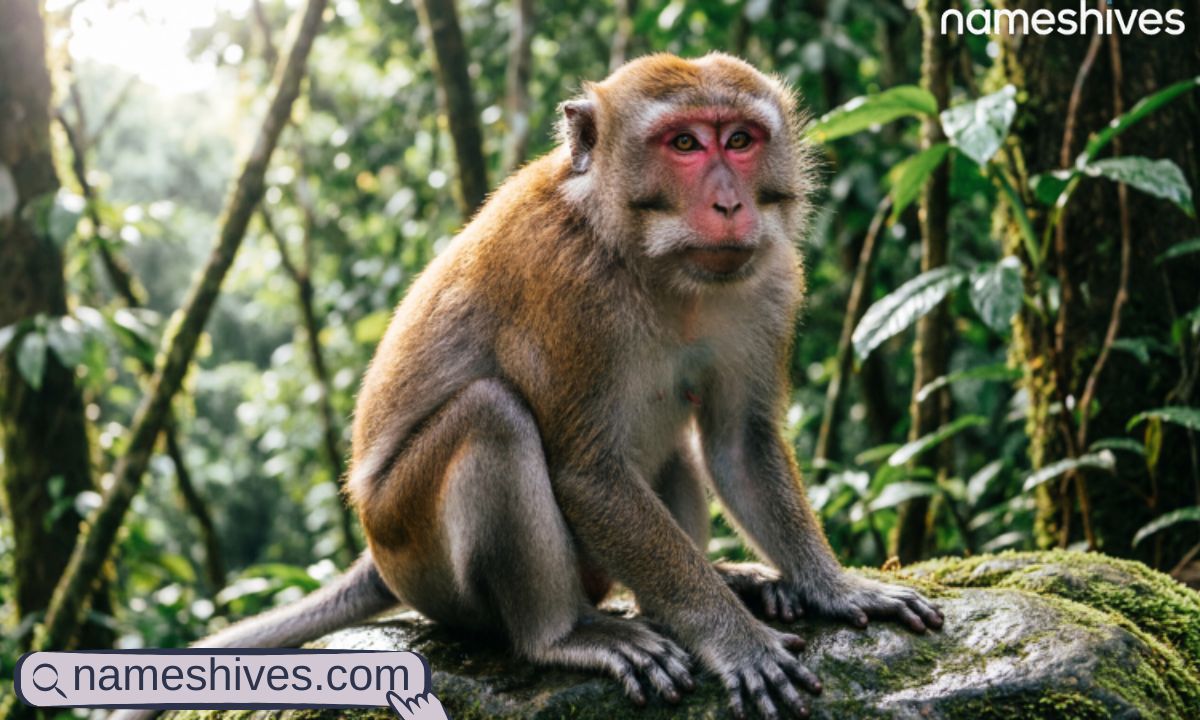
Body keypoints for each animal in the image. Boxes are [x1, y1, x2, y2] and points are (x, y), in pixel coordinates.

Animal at [112, 53, 941, 720]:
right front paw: (735, 641)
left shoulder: (768, 279)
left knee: (669, 449)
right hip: (422, 555)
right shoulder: (564, 287)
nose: (731, 205)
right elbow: (585, 470)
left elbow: (740, 442)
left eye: (739, 141)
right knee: (494, 418)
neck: (650, 261)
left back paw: (715, 583)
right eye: (683, 144)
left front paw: (835, 587)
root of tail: (376, 555)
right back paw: (570, 634)